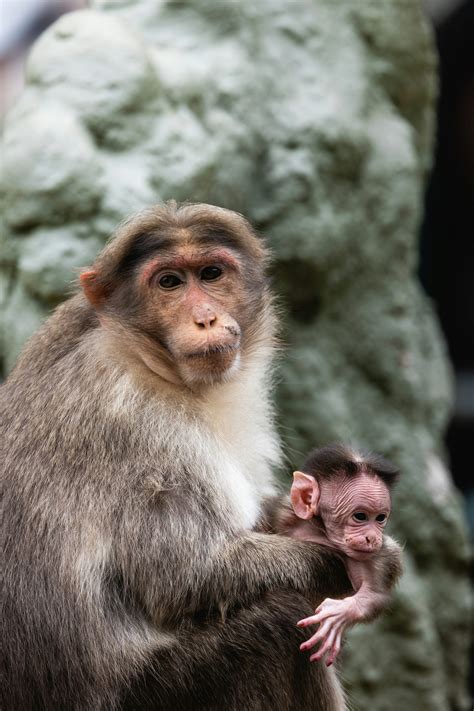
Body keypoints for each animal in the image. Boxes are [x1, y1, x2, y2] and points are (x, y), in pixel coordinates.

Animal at [2, 202, 371, 711]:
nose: (205, 318)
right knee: (280, 623)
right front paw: (336, 562)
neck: (147, 360)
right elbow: (185, 578)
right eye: (169, 283)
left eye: (211, 274)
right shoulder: (142, 429)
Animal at [271, 444, 403, 668]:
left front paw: (341, 613)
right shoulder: (285, 514)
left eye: (380, 518)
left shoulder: (367, 557)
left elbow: (373, 595)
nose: (373, 538)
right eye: (360, 516)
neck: (319, 530)